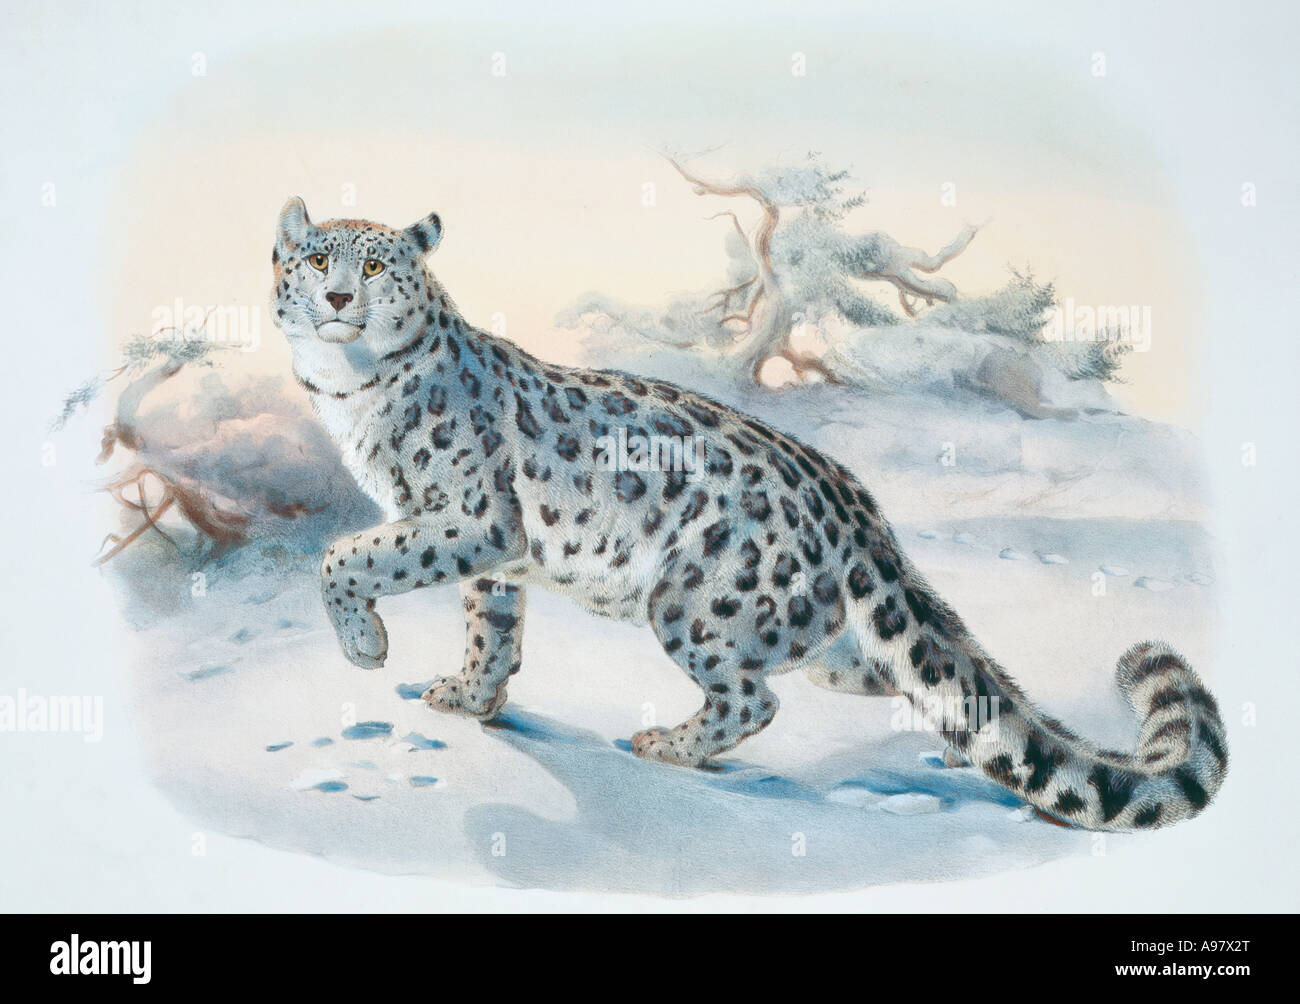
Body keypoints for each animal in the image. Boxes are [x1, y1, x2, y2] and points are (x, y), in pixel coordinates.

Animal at [270, 197, 1228, 831]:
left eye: (376, 266)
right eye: (317, 260)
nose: (340, 299)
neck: (349, 392)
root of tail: (854, 505)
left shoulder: (469, 517)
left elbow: (348, 555)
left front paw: (367, 648)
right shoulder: (491, 551)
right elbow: (490, 625)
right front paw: (468, 695)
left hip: (695, 604)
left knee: (752, 697)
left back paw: (665, 743)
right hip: (831, 644)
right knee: (927, 680)